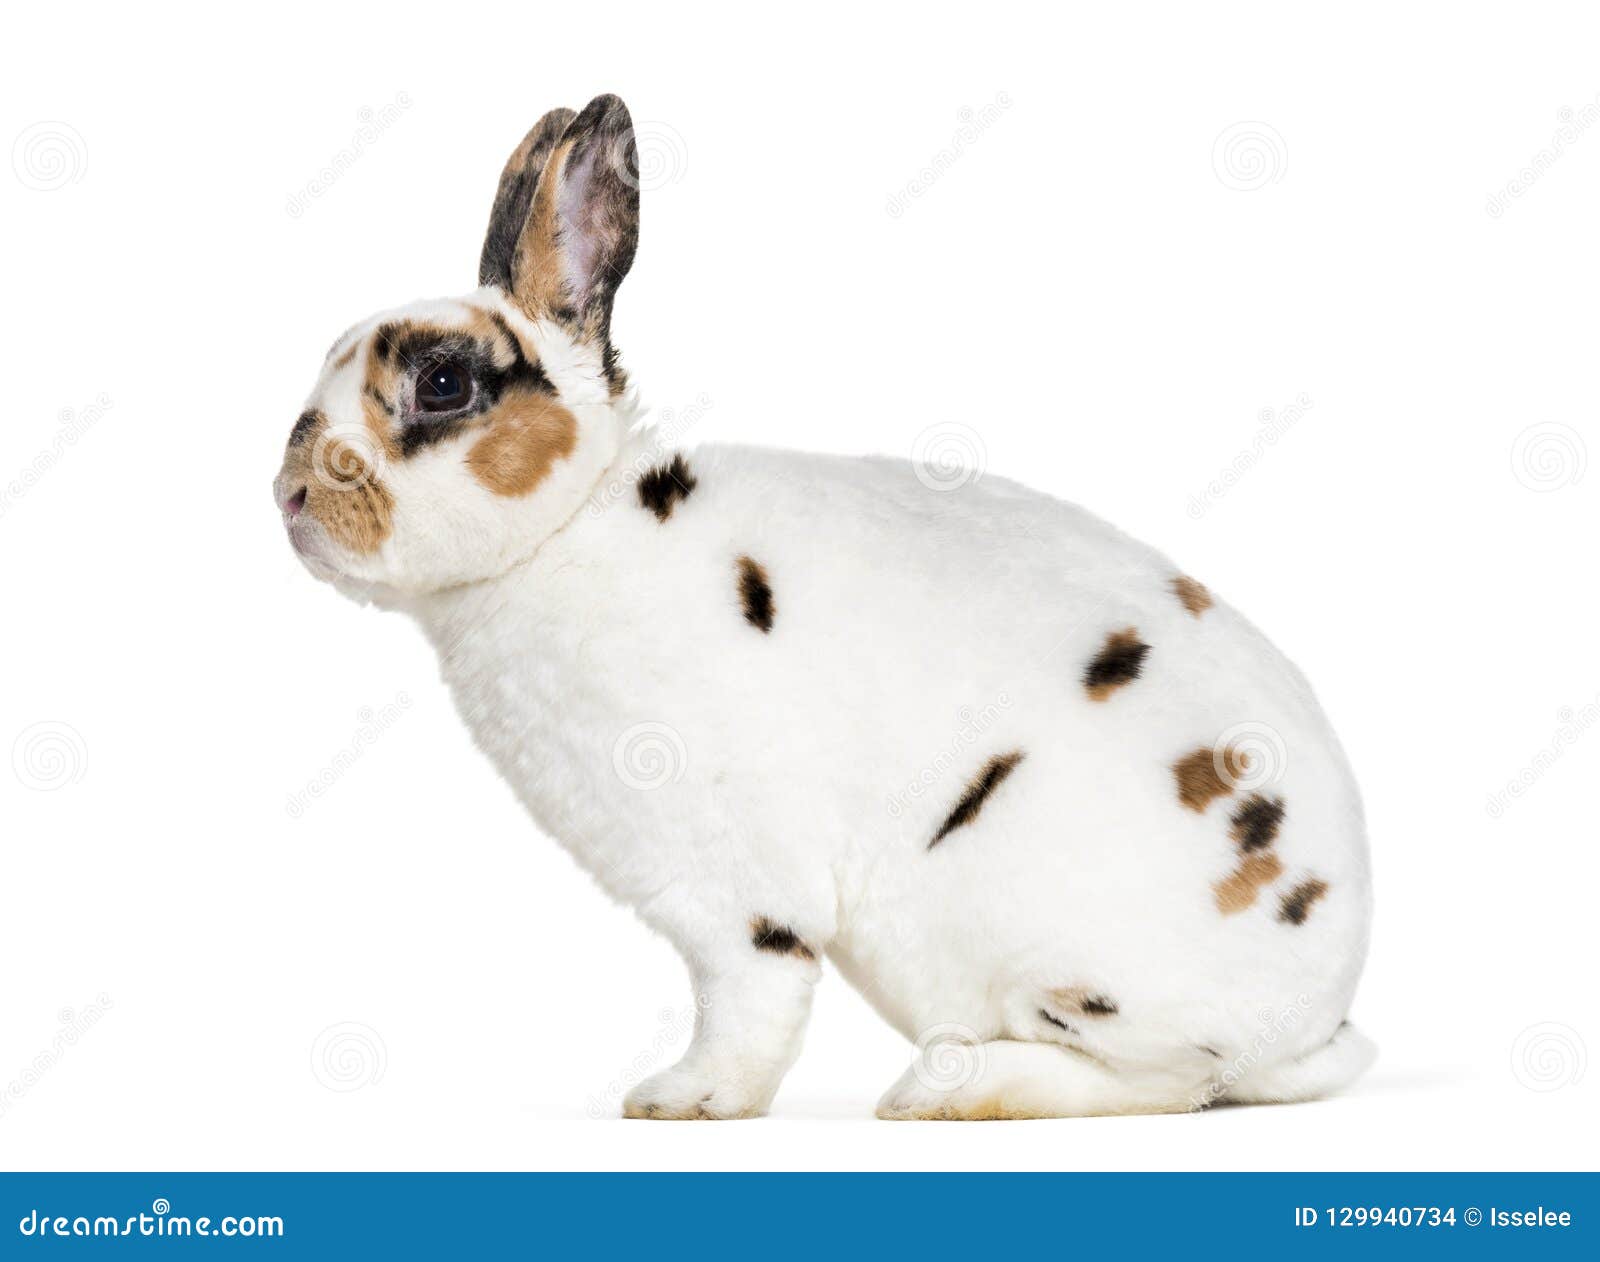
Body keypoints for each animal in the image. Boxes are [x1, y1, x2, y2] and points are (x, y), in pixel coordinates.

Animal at [272, 94, 1374, 1120]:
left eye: (441, 382)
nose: (289, 497)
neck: (569, 527)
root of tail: (1316, 1014)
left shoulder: (734, 889)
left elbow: (749, 997)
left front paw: (683, 1099)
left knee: (1168, 1077)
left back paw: (943, 1089)